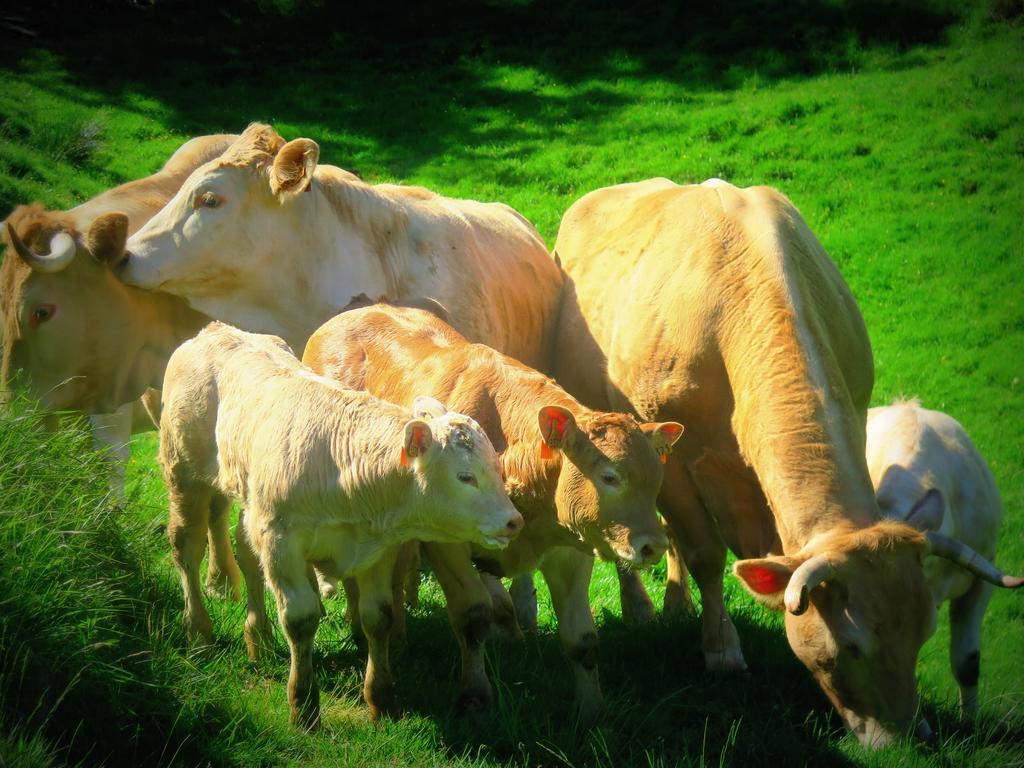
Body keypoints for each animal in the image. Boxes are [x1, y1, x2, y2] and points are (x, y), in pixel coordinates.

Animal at [164, 321, 528, 729]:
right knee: (187, 550)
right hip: (184, 477)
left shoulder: (376, 549)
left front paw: (381, 699)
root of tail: (214, 330)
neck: (339, 466)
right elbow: (301, 619)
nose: (514, 521)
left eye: (496, 468)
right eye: (465, 477)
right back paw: (199, 632)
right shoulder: (281, 541)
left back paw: (258, 635)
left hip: (249, 505)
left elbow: (378, 617)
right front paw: (304, 704)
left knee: (246, 554)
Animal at [299, 303, 679, 720]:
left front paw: (592, 709)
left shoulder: (571, 549)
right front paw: (474, 692)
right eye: (610, 477)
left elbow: (581, 639)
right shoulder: (447, 546)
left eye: (657, 479)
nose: (653, 545)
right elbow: (472, 617)